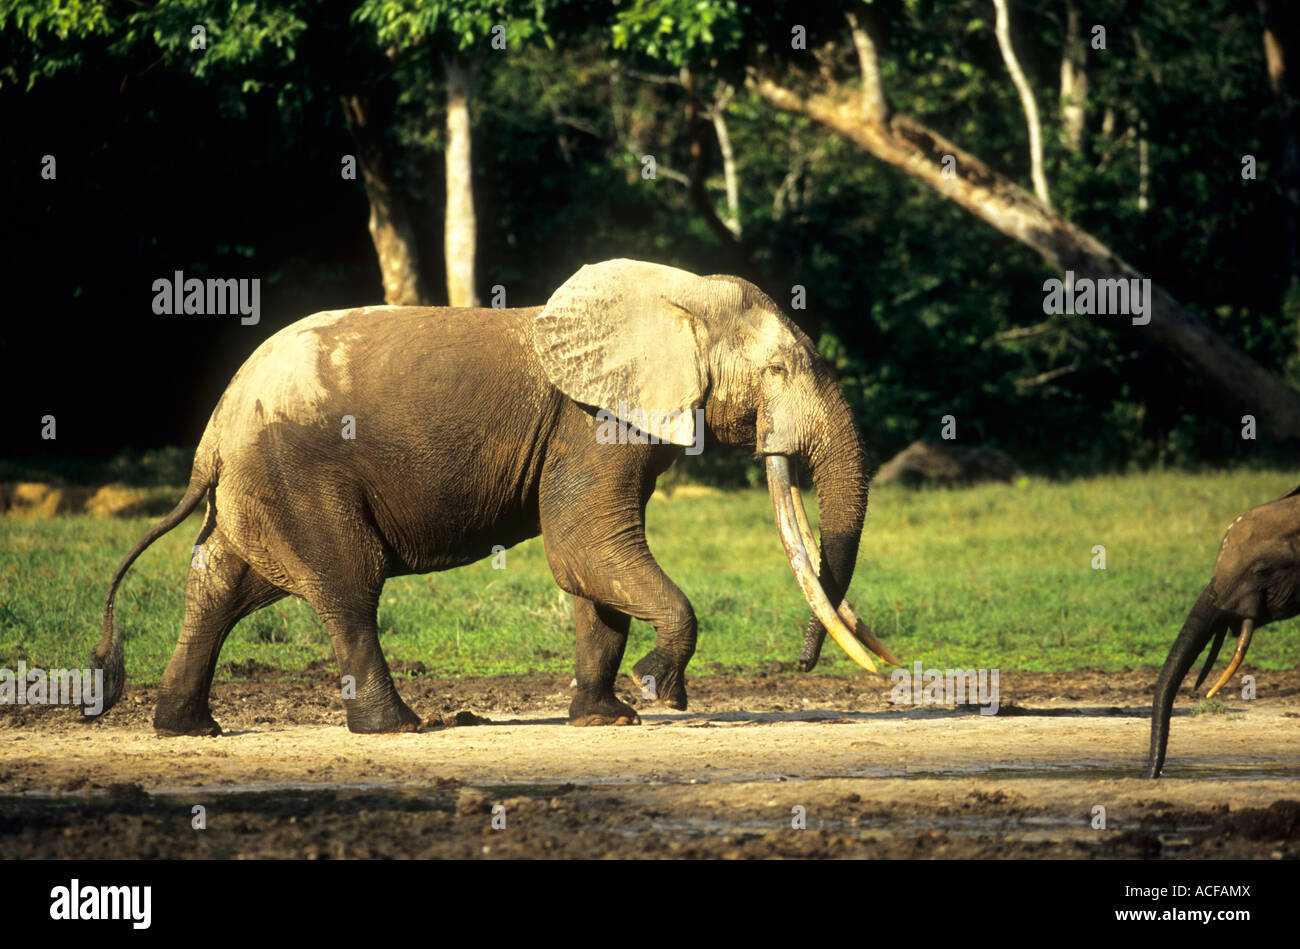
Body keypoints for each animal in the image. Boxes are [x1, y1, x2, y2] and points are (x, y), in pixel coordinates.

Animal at [88, 258, 899, 735]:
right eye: (778, 372)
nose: (802, 665)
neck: (676, 290)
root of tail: (212, 433)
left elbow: (588, 567)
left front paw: (606, 717)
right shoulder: (588, 420)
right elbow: (586, 546)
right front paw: (661, 690)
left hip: (258, 486)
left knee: (219, 583)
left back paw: (186, 727)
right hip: (298, 473)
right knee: (349, 583)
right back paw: (404, 727)